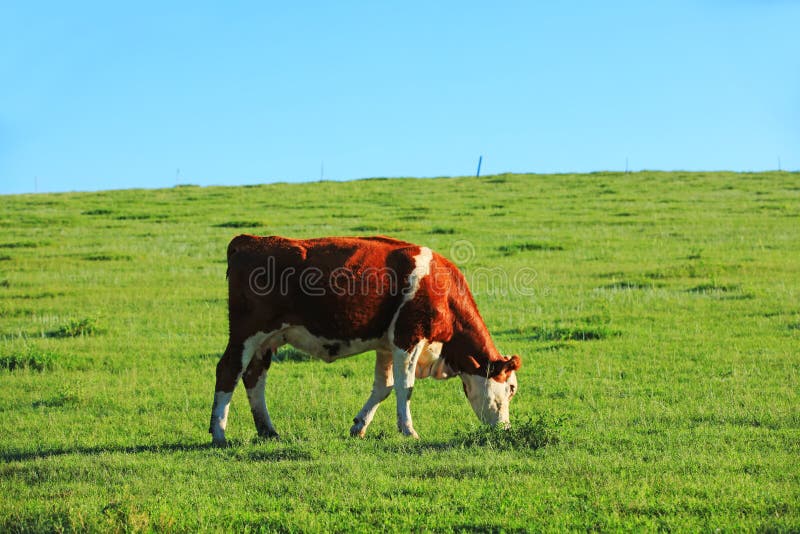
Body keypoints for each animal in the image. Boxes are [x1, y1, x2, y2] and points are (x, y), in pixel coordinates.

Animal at [209, 234, 521, 446]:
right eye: (511, 389)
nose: (505, 430)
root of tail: (249, 241)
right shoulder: (408, 337)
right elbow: (405, 388)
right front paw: (408, 430)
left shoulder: (387, 345)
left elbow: (384, 387)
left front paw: (359, 426)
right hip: (247, 332)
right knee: (229, 371)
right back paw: (219, 433)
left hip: (266, 342)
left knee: (254, 377)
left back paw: (268, 431)